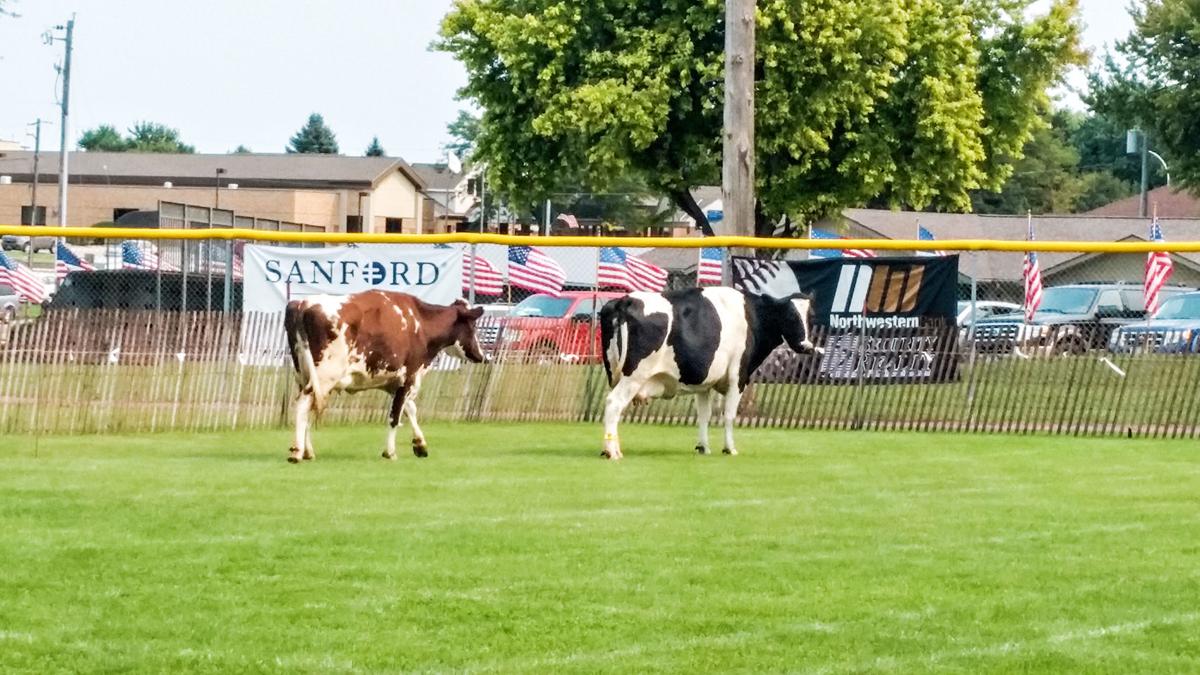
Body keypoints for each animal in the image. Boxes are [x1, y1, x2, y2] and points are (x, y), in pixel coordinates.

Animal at [283, 290, 486, 463]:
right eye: (474, 326)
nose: (482, 356)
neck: (420, 323)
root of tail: (304, 303)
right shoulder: (409, 378)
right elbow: (395, 417)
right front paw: (390, 452)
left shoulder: (393, 383)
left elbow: (410, 409)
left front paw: (420, 445)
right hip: (324, 376)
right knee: (303, 405)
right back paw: (297, 452)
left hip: (304, 376)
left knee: (309, 409)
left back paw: (308, 451)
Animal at [598, 286, 818, 460]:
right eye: (790, 316)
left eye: (810, 317)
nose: (807, 346)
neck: (751, 315)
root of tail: (625, 300)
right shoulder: (738, 376)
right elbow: (729, 415)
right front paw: (729, 449)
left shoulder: (704, 383)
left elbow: (704, 415)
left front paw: (703, 447)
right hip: (634, 376)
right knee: (613, 404)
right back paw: (612, 452)